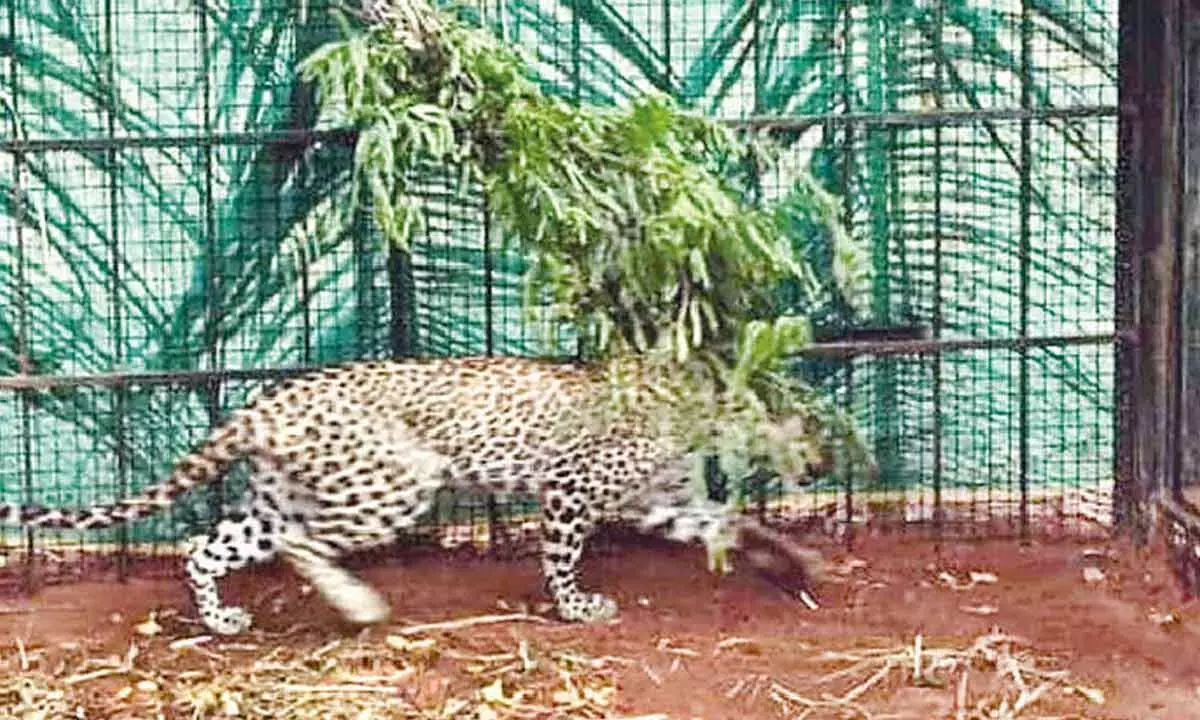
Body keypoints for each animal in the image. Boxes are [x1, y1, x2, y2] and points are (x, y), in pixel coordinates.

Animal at [1, 355, 824, 635]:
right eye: (806, 423)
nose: (818, 462)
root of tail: (268, 402)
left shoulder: (659, 501)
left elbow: (724, 524)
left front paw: (792, 565)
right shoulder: (570, 489)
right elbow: (561, 558)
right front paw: (574, 607)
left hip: (279, 497)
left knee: (208, 546)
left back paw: (225, 620)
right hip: (393, 482)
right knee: (302, 544)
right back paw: (360, 606)